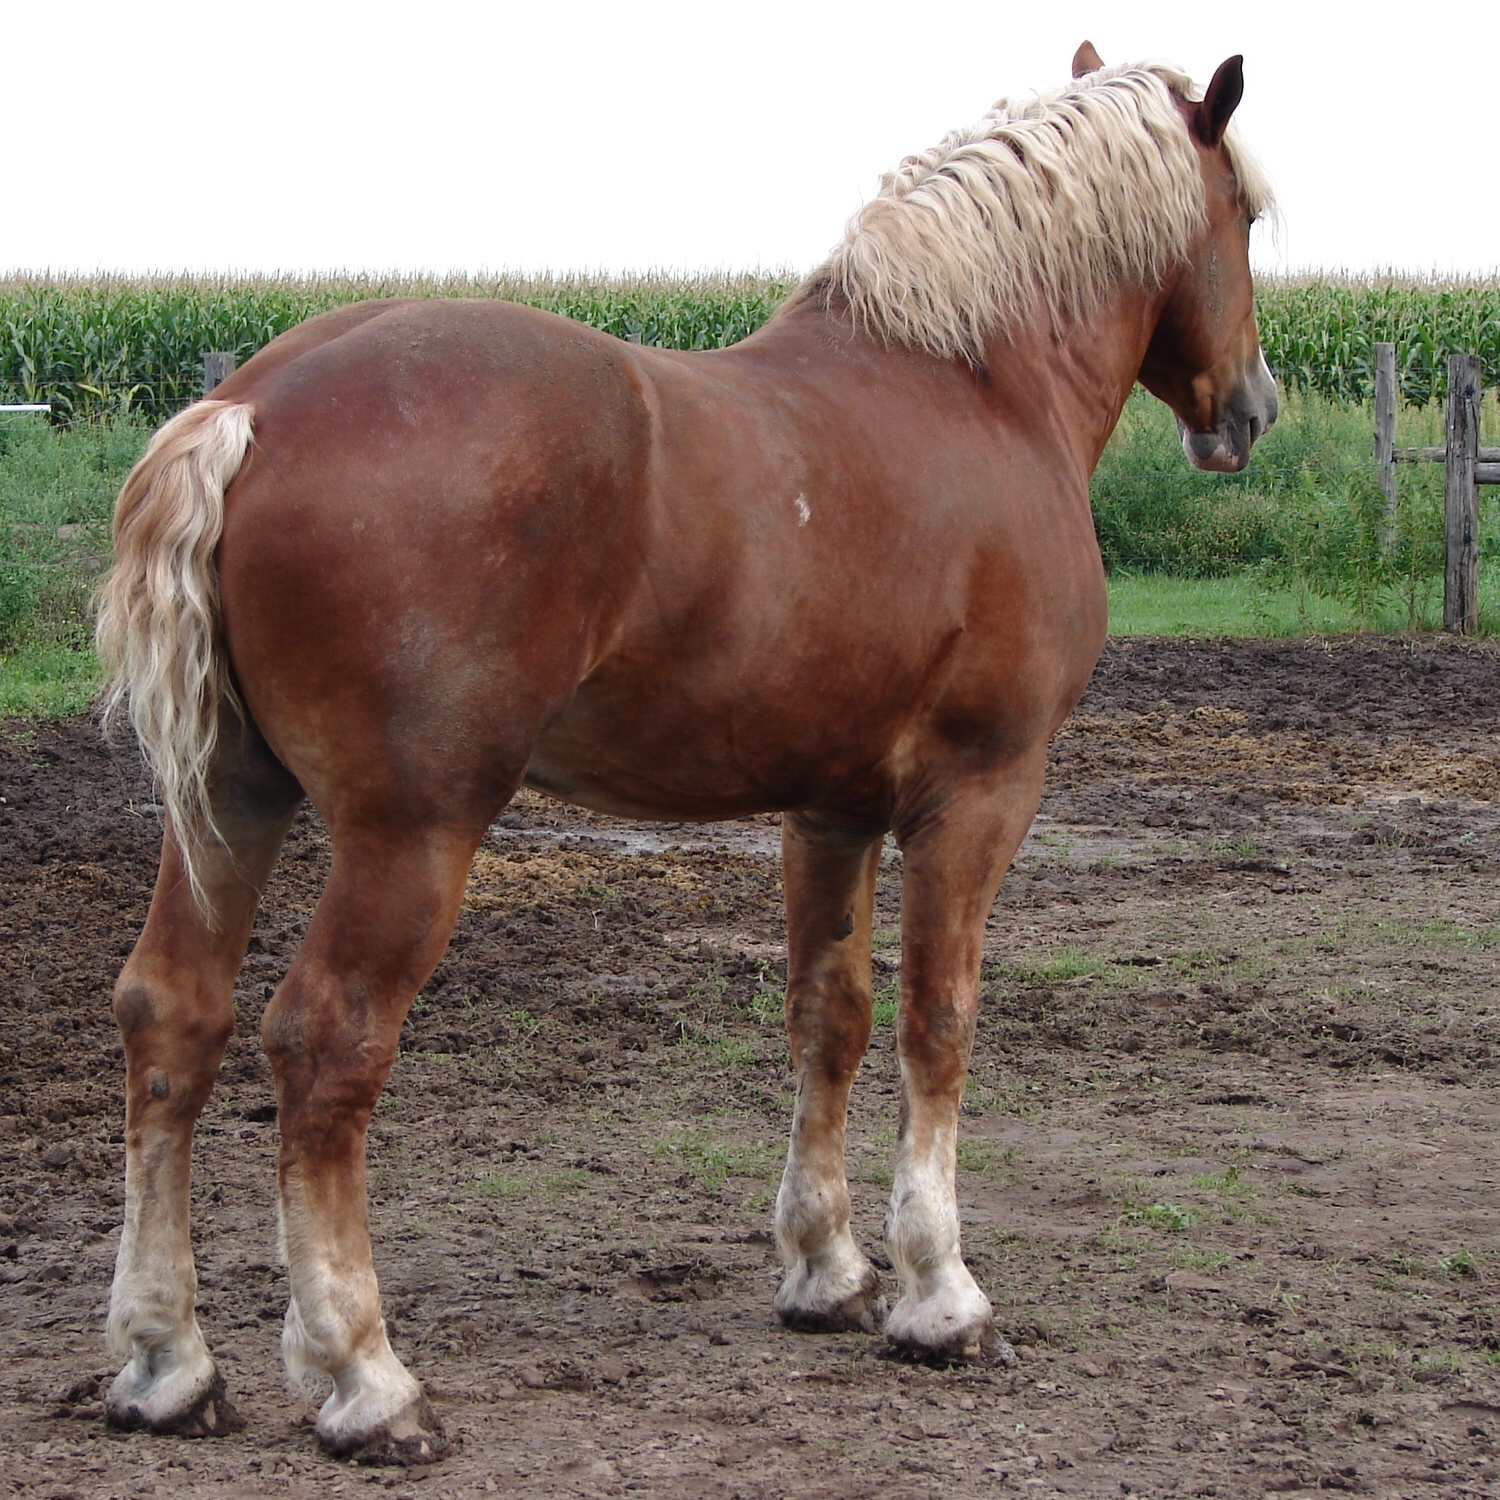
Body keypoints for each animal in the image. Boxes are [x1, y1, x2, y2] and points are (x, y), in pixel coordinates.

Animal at [94, 44, 1275, 1463]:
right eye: (1248, 213)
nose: (1251, 409)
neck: (978, 388)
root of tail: (251, 405)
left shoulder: (828, 810)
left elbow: (830, 1015)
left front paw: (826, 1271)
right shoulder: (981, 795)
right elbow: (939, 1022)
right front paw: (940, 1295)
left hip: (226, 805)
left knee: (174, 1016)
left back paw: (167, 1363)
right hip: (410, 834)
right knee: (325, 1046)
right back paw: (364, 1378)